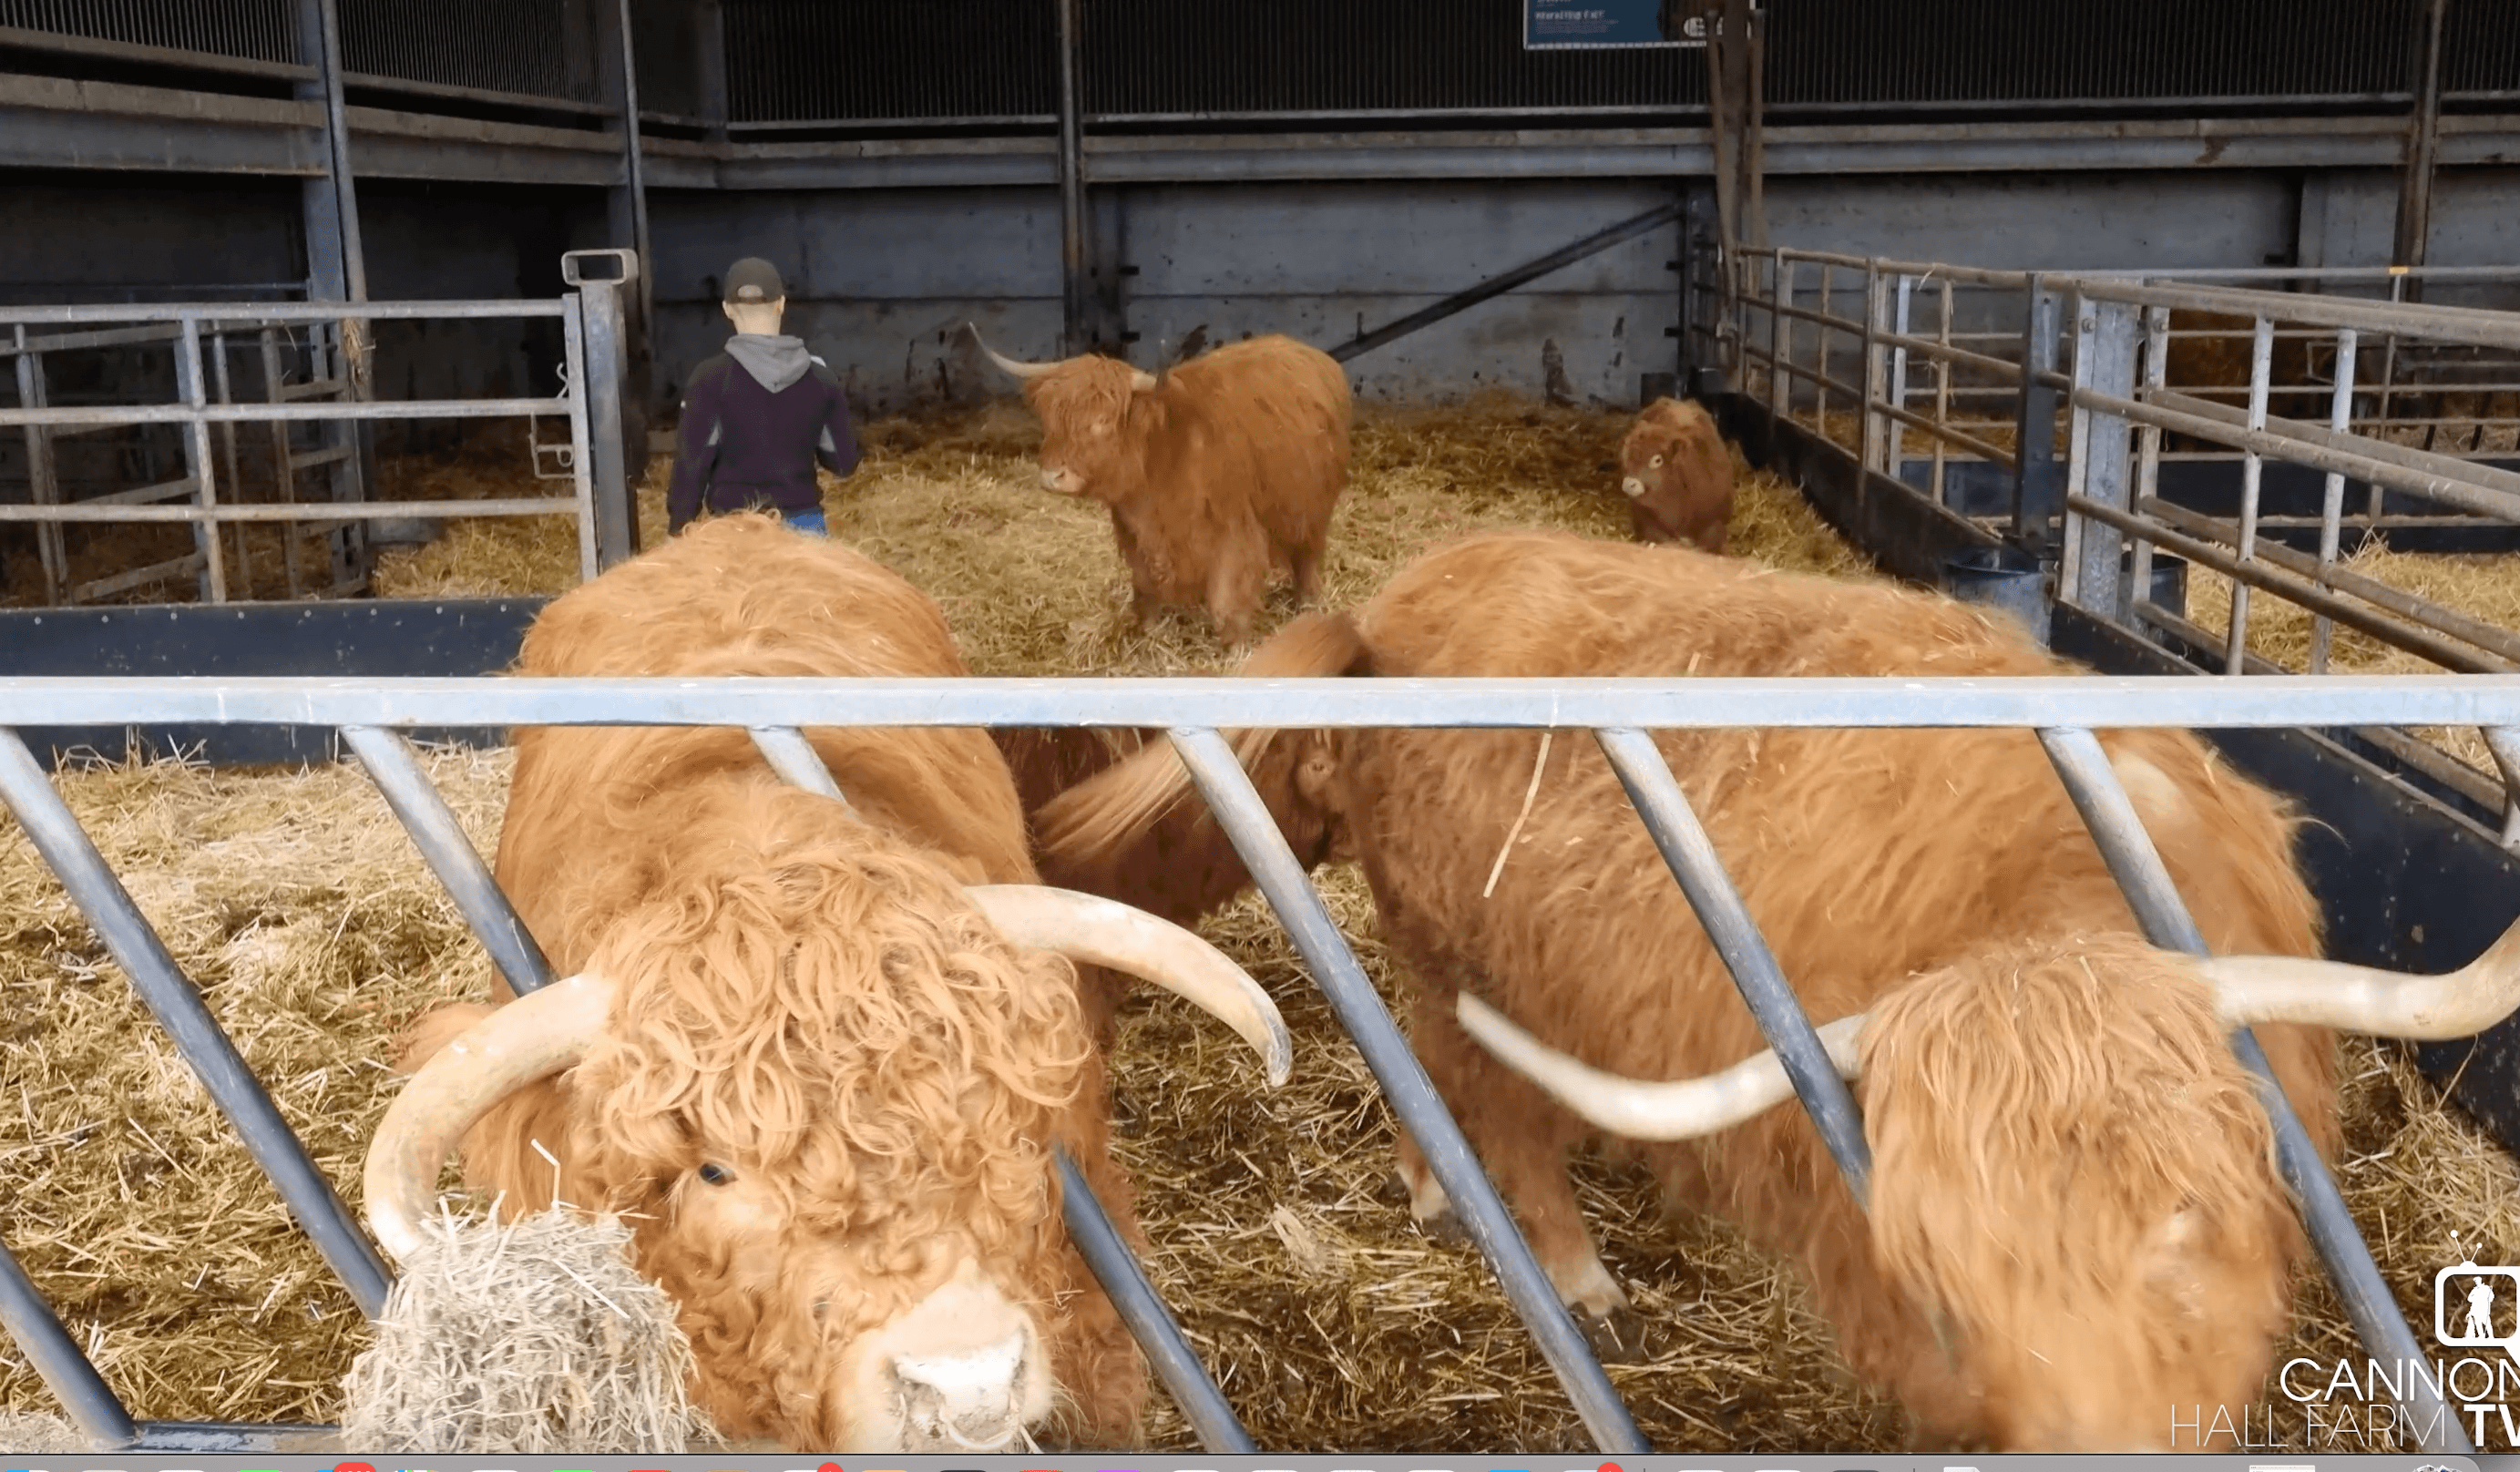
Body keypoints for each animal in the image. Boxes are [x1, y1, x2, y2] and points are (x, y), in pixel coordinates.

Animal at [969, 327, 1353, 648]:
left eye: (1103, 422)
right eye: (1051, 419)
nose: (1053, 477)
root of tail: (1306, 351)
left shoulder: (1235, 531)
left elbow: (1227, 599)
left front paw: (1236, 647)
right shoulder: (1135, 531)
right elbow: (1146, 588)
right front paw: (1149, 631)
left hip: (1312, 507)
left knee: (1307, 556)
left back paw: (1308, 603)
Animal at [1027, 527, 2520, 1452]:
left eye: (2182, 1224)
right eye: (1945, 1278)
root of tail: (1400, 597)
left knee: (1433, 1070)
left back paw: (1434, 1185)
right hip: (1457, 942)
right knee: (1482, 1094)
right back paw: (1569, 1271)